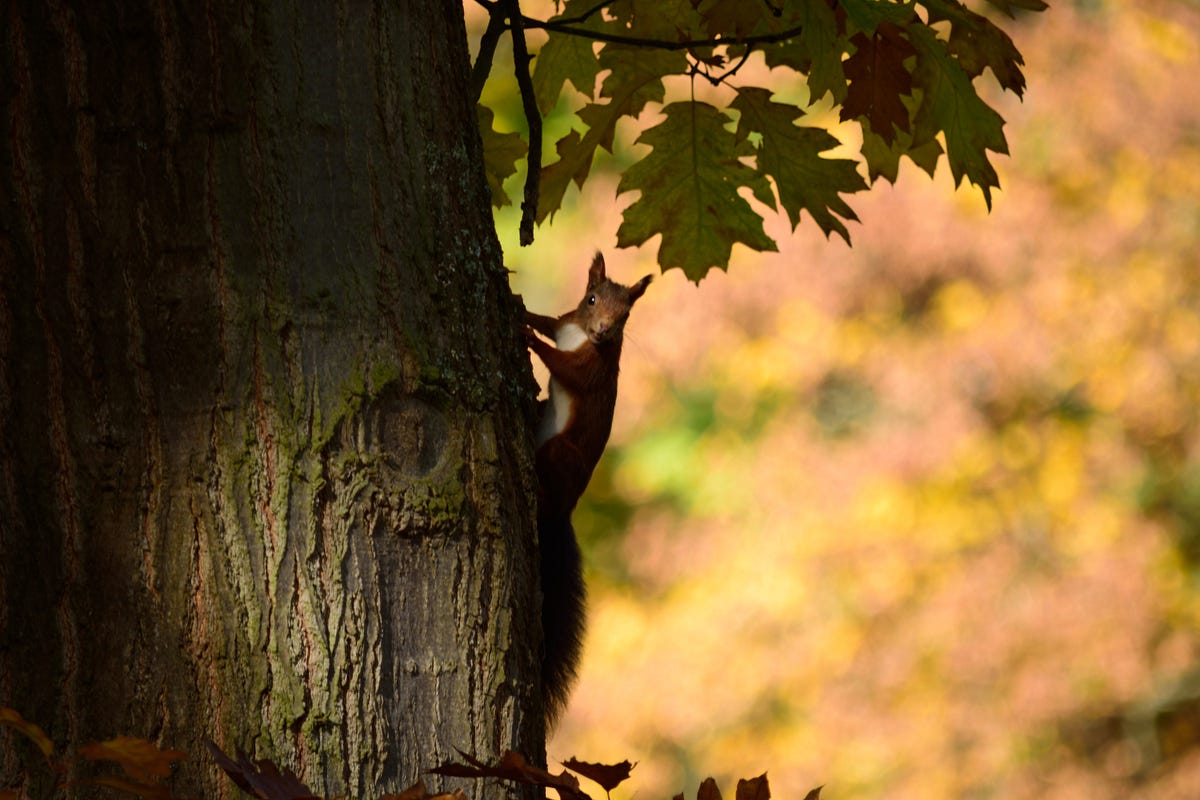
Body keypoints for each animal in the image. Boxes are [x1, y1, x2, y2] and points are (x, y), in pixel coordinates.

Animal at [524, 251, 652, 726]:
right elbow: (549, 321)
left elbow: (561, 365)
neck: (581, 334)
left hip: (562, 453)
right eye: (592, 298)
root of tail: (566, 509)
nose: (603, 332)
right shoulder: (566, 322)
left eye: (627, 314)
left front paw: (526, 337)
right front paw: (521, 310)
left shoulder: (590, 368)